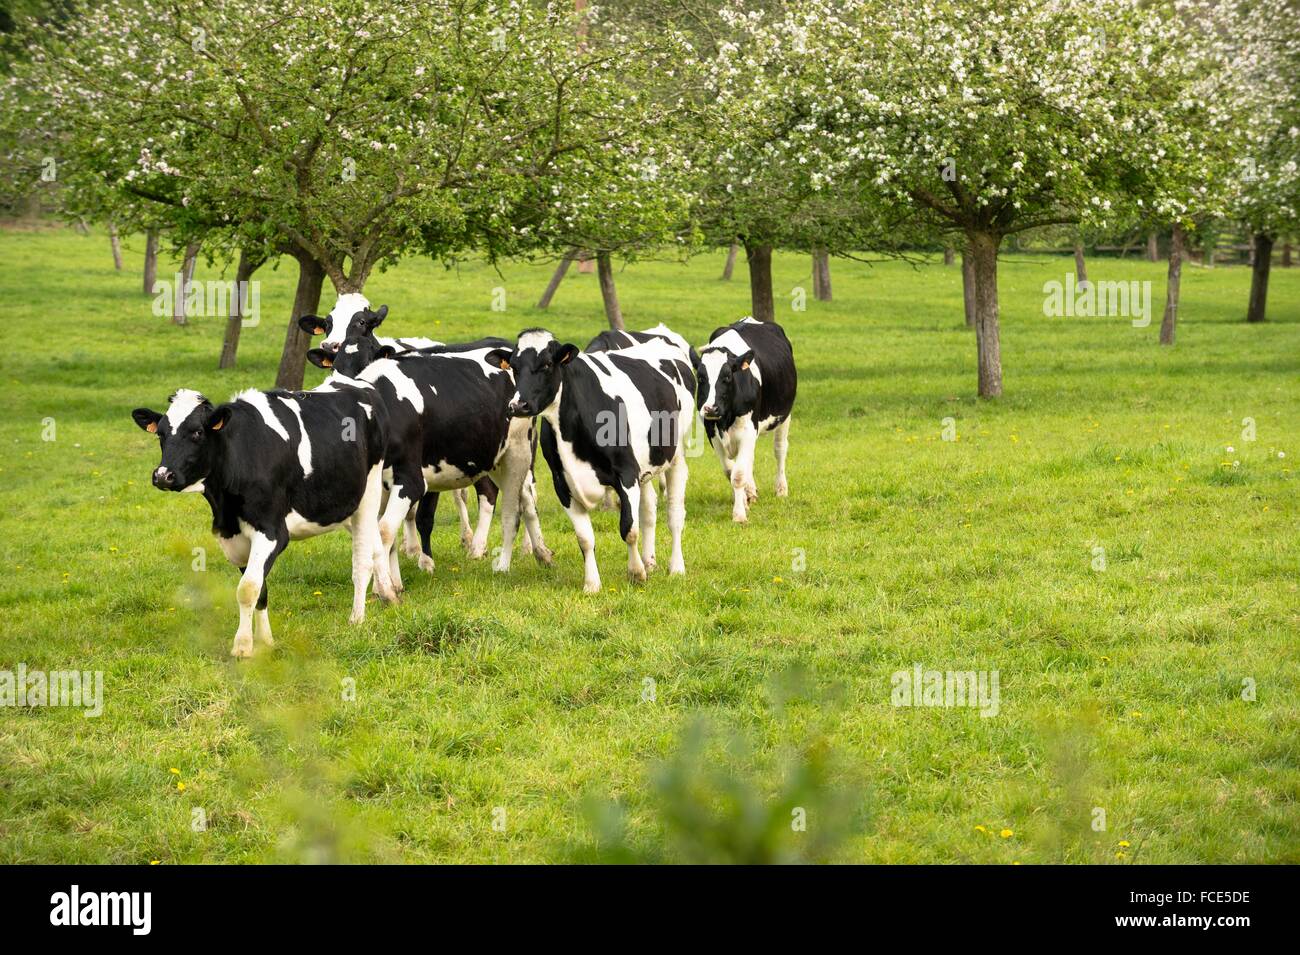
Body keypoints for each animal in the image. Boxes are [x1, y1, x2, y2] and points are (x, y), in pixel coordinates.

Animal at [131, 386, 397, 658]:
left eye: (197, 432)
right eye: (161, 434)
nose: (162, 475)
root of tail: (360, 388)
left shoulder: (272, 532)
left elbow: (247, 587)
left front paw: (243, 646)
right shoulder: (237, 538)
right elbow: (260, 589)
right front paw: (266, 641)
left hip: (368, 495)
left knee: (362, 561)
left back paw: (357, 619)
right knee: (377, 545)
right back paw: (389, 595)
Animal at [306, 322, 551, 590]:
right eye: (335, 367)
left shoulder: (412, 480)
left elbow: (390, 530)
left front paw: (389, 586)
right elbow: (383, 535)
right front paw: (394, 583)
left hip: (520, 449)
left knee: (520, 500)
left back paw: (504, 554)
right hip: (494, 456)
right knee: (522, 496)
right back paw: (541, 553)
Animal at [487, 328, 694, 593]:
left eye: (547, 364)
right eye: (513, 366)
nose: (517, 405)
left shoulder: (626, 474)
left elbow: (629, 529)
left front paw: (636, 573)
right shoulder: (562, 483)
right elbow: (585, 538)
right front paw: (592, 584)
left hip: (677, 456)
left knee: (675, 515)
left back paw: (676, 568)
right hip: (647, 467)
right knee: (649, 511)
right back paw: (650, 562)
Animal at [695, 316, 796, 523]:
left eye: (727, 377)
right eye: (700, 378)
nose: (710, 408)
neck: (726, 418)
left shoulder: (748, 429)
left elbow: (739, 474)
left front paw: (739, 514)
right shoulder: (712, 432)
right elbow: (730, 471)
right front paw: (745, 500)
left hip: (784, 415)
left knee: (780, 449)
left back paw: (781, 489)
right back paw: (751, 492)